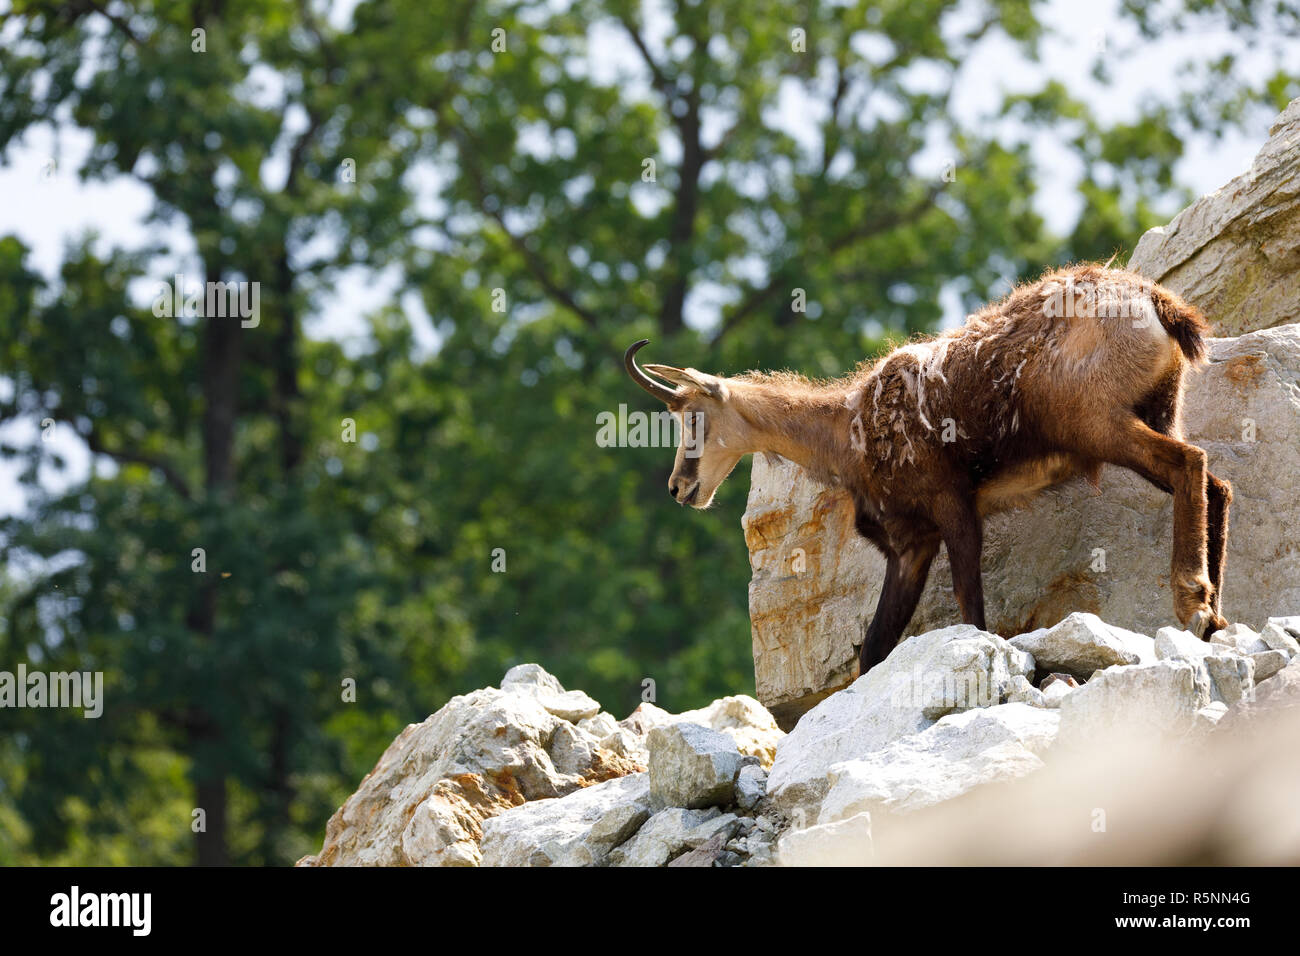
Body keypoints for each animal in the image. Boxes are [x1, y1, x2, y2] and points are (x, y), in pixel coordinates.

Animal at [625, 263, 1232, 676]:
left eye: (694, 419)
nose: (679, 488)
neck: (847, 428)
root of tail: (1155, 301)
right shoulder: (910, 543)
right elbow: (875, 646)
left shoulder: (951, 504)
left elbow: (971, 608)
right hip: (1159, 408)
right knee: (1216, 484)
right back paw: (1214, 616)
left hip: (1097, 423)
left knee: (1190, 463)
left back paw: (1192, 603)